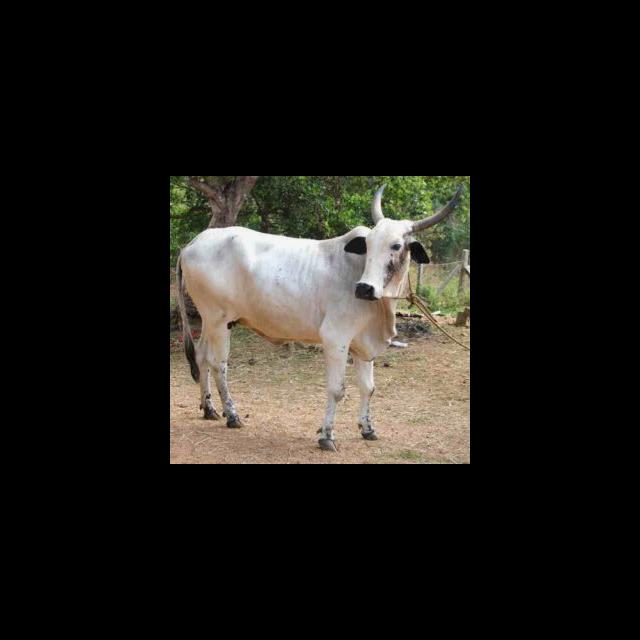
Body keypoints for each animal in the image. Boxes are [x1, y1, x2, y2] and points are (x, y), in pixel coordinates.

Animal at [175, 184, 462, 451]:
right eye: (368, 245)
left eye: (396, 245)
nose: (364, 289)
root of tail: (192, 243)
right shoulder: (336, 338)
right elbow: (337, 390)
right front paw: (327, 436)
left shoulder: (363, 344)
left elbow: (368, 387)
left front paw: (367, 428)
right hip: (219, 321)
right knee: (218, 365)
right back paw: (232, 414)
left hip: (210, 322)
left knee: (201, 357)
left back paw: (209, 409)